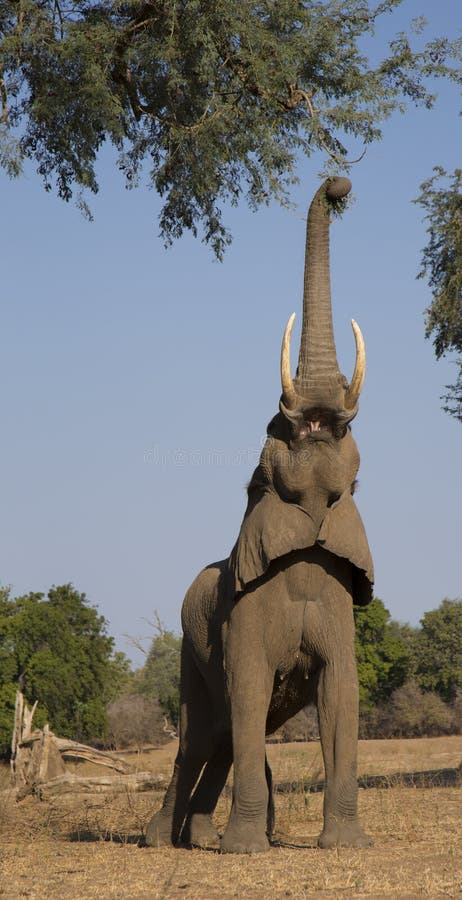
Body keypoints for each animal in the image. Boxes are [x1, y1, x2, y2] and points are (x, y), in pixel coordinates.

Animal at [146, 176, 374, 854]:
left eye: (353, 486)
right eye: (261, 479)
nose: (339, 185)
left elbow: (341, 694)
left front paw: (343, 845)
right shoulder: (240, 615)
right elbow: (246, 691)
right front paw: (245, 851)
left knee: (219, 737)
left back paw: (196, 839)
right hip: (189, 650)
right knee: (201, 734)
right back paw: (159, 842)